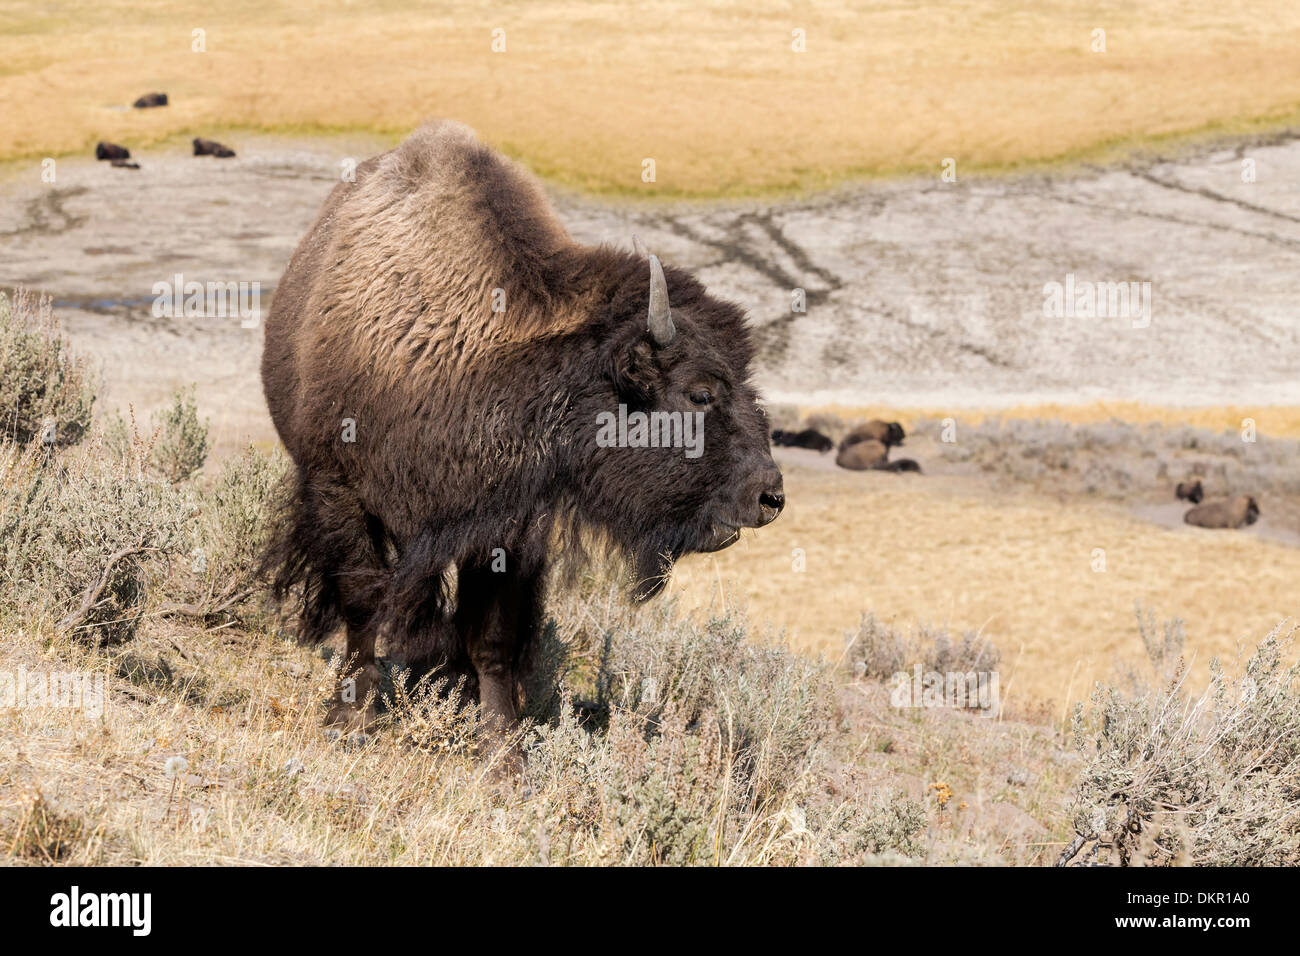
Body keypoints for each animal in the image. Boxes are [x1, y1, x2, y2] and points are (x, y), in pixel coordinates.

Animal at [261, 121, 784, 732]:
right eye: (700, 392)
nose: (770, 496)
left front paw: (498, 739)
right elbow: (363, 600)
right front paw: (352, 715)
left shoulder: (508, 525)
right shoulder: (338, 488)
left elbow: (492, 634)